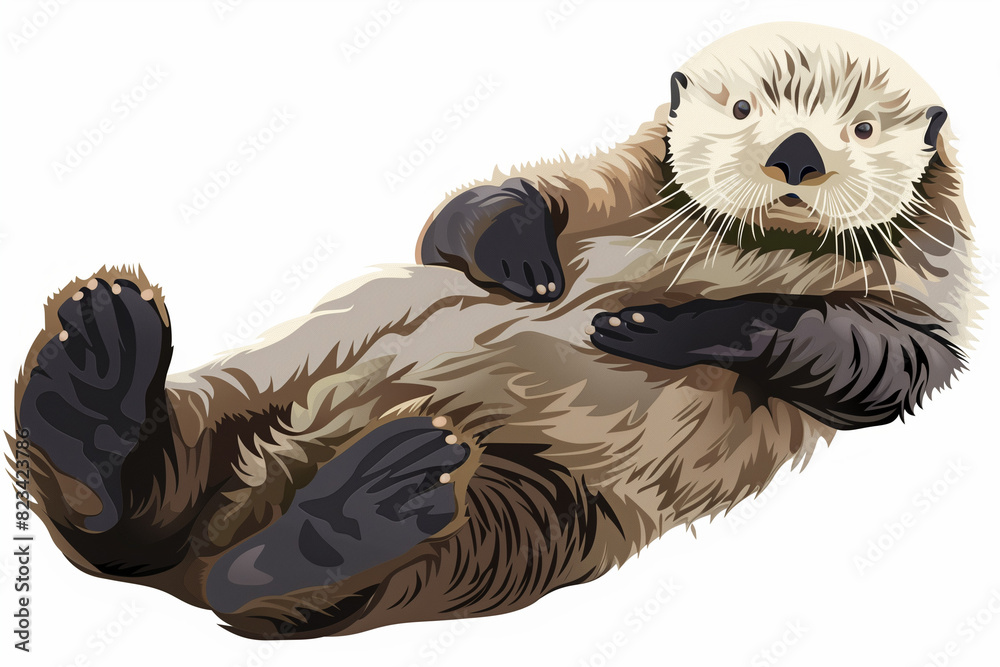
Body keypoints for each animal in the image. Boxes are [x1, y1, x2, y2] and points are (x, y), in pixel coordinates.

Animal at [10, 23, 978, 639]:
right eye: (742, 110)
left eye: (862, 126)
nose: (796, 156)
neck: (751, 246)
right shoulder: (612, 177)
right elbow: (469, 213)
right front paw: (525, 261)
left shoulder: (926, 306)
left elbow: (869, 359)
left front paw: (656, 325)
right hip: (254, 384)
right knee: (130, 519)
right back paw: (98, 375)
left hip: (538, 516)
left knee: (253, 591)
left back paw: (354, 513)